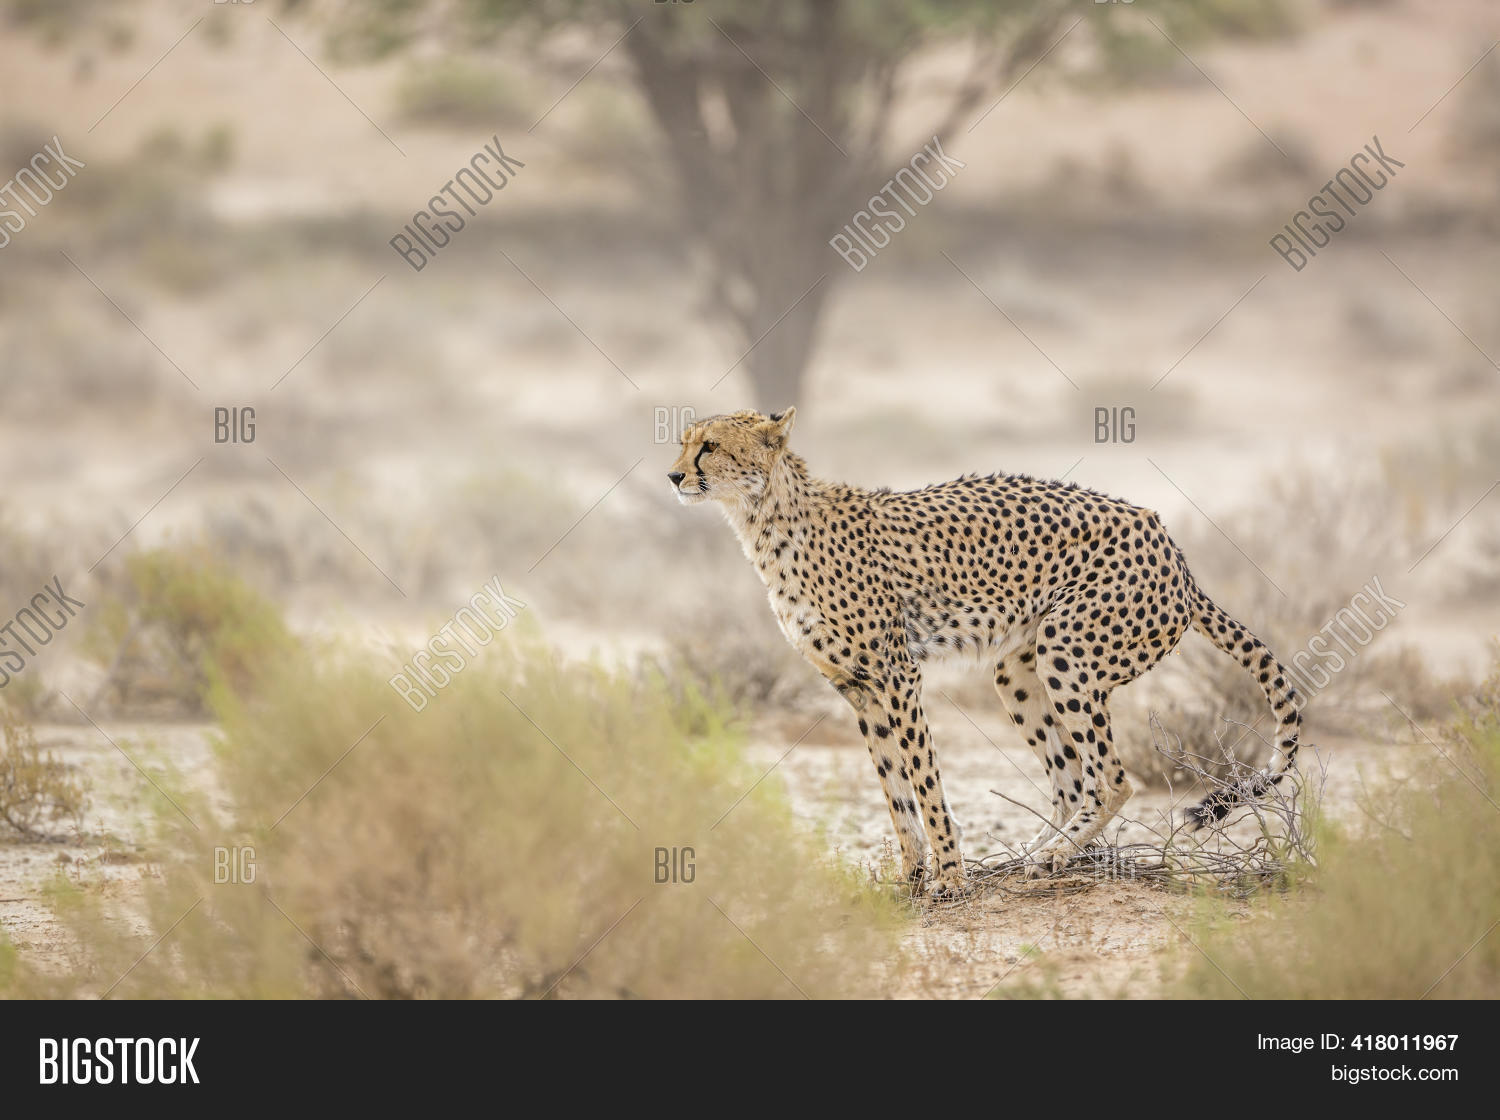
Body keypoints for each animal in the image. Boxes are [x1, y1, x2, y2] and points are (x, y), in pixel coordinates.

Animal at [667, 407, 1301, 897]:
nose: (673, 476)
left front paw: (950, 877)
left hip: (1067, 651)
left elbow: (924, 780)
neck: (766, 519)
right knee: (1070, 780)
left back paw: (1056, 854)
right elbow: (895, 792)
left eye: (710, 446)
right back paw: (1041, 852)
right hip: (1016, 672)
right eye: (684, 440)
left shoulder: (897, 676)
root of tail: (1170, 543)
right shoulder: (857, 688)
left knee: (1112, 777)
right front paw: (910, 878)